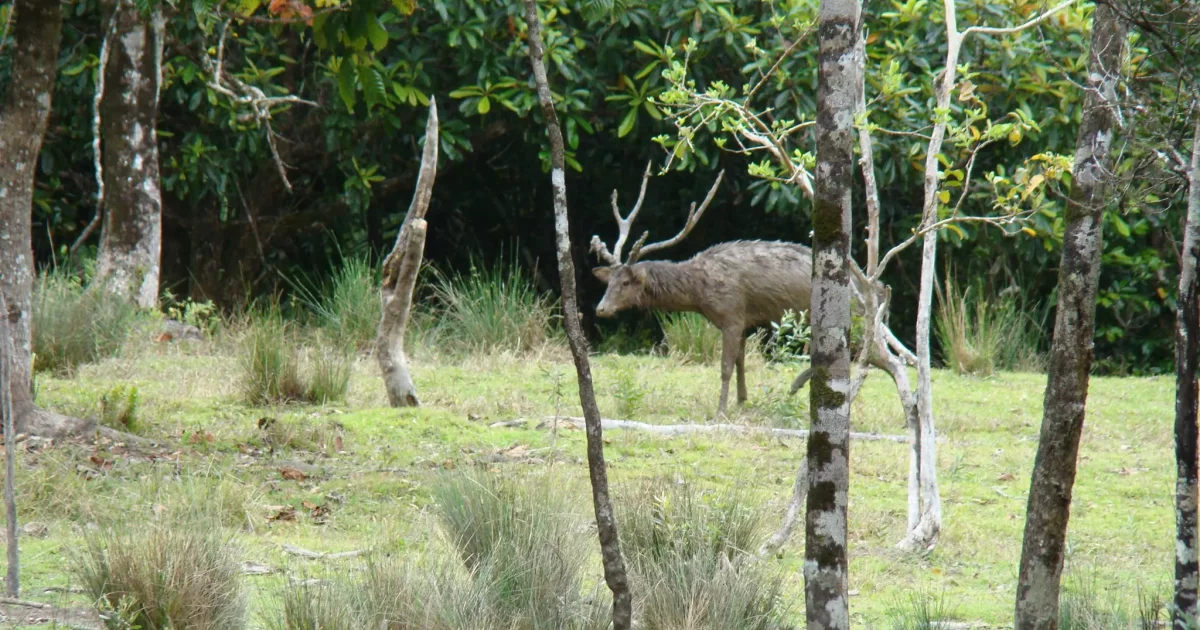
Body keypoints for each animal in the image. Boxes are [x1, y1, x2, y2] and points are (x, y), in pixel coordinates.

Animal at [591, 163, 841, 417]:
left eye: (625, 283)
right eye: (609, 282)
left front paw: (721, 410)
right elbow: (740, 361)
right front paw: (741, 400)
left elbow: (725, 366)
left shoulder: (731, 316)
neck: (699, 294)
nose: (600, 309)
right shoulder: (743, 320)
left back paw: (796, 386)